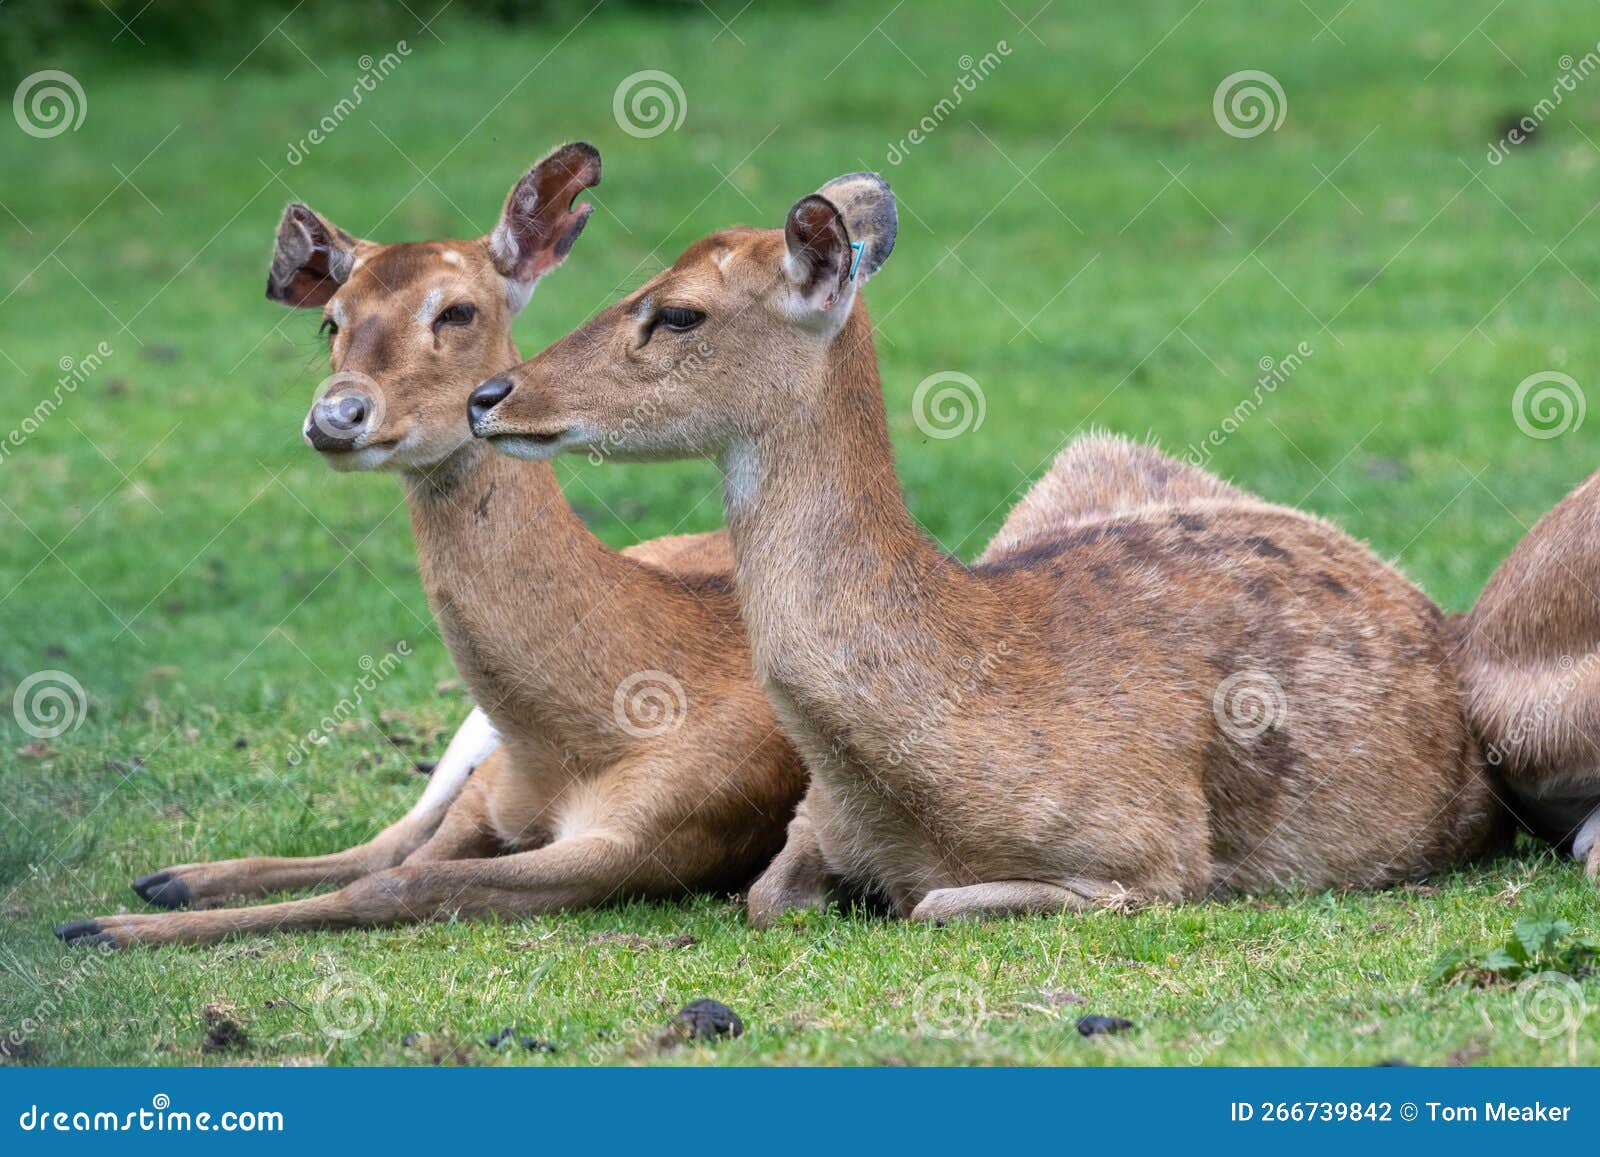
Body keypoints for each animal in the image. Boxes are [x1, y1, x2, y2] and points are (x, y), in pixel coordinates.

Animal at [54, 143, 805, 949]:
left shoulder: (658, 833)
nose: (337, 415)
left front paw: (102, 927)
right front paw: (120, 915)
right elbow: (399, 861)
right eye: (330, 322)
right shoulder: (490, 791)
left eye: (457, 309)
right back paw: (175, 875)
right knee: (389, 832)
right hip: (470, 737)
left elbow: (401, 884)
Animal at [464, 170, 1513, 925]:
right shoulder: (810, 820)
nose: (491, 396)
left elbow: (934, 902)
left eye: (678, 311)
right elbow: (768, 898)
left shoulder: (1153, 851)